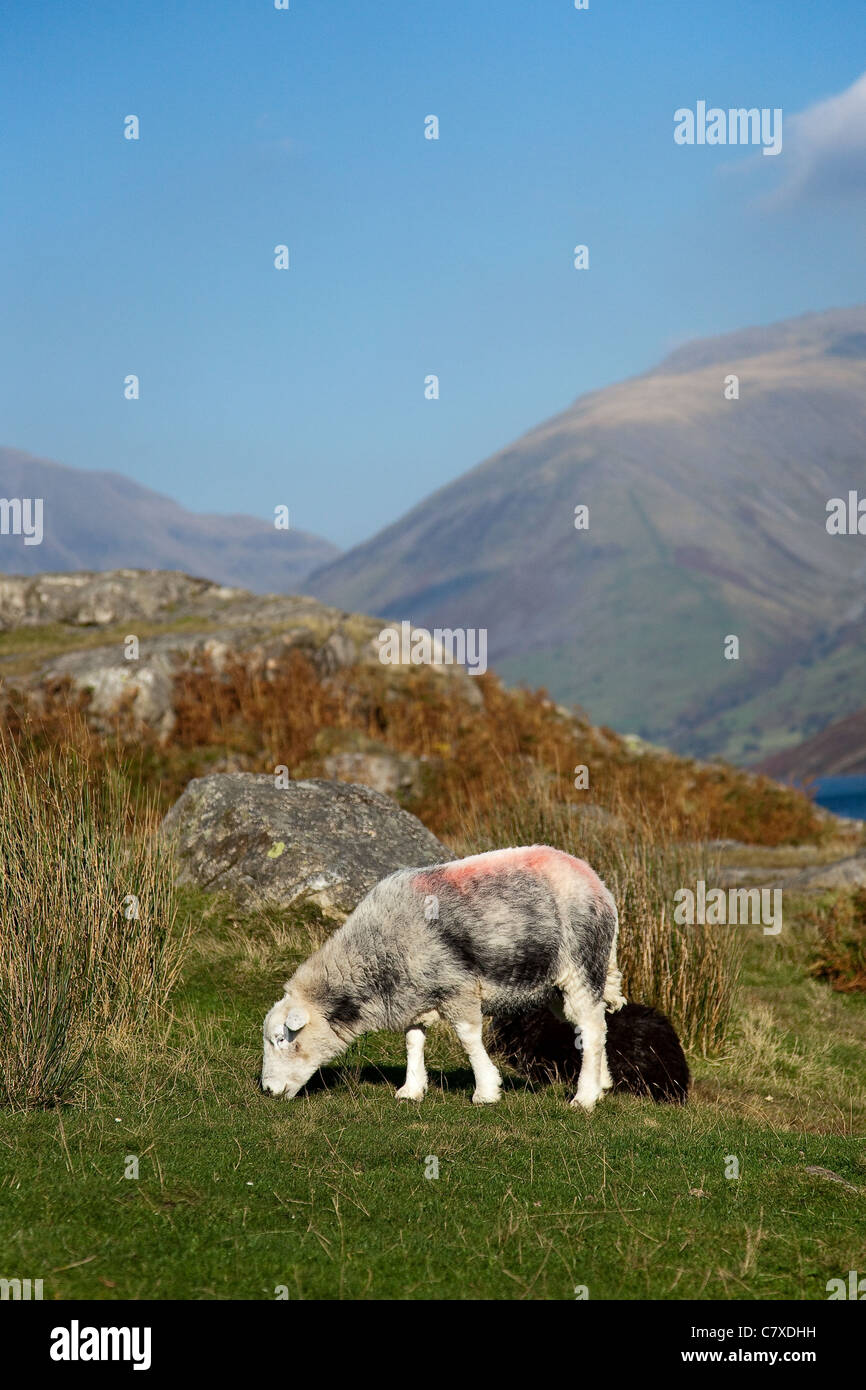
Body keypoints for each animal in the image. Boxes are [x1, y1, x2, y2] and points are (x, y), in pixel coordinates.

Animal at [261, 844, 626, 1111]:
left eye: (281, 1039)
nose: (266, 1090)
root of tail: (598, 882)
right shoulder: (414, 992)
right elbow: (413, 1040)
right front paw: (411, 1089)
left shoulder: (457, 987)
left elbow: (467, 1038)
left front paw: (486, 1090)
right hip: (557, 987)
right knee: (591, 1026)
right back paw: (601, 1084)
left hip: (579, 966)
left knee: (592, 1028)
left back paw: (585, 1097)